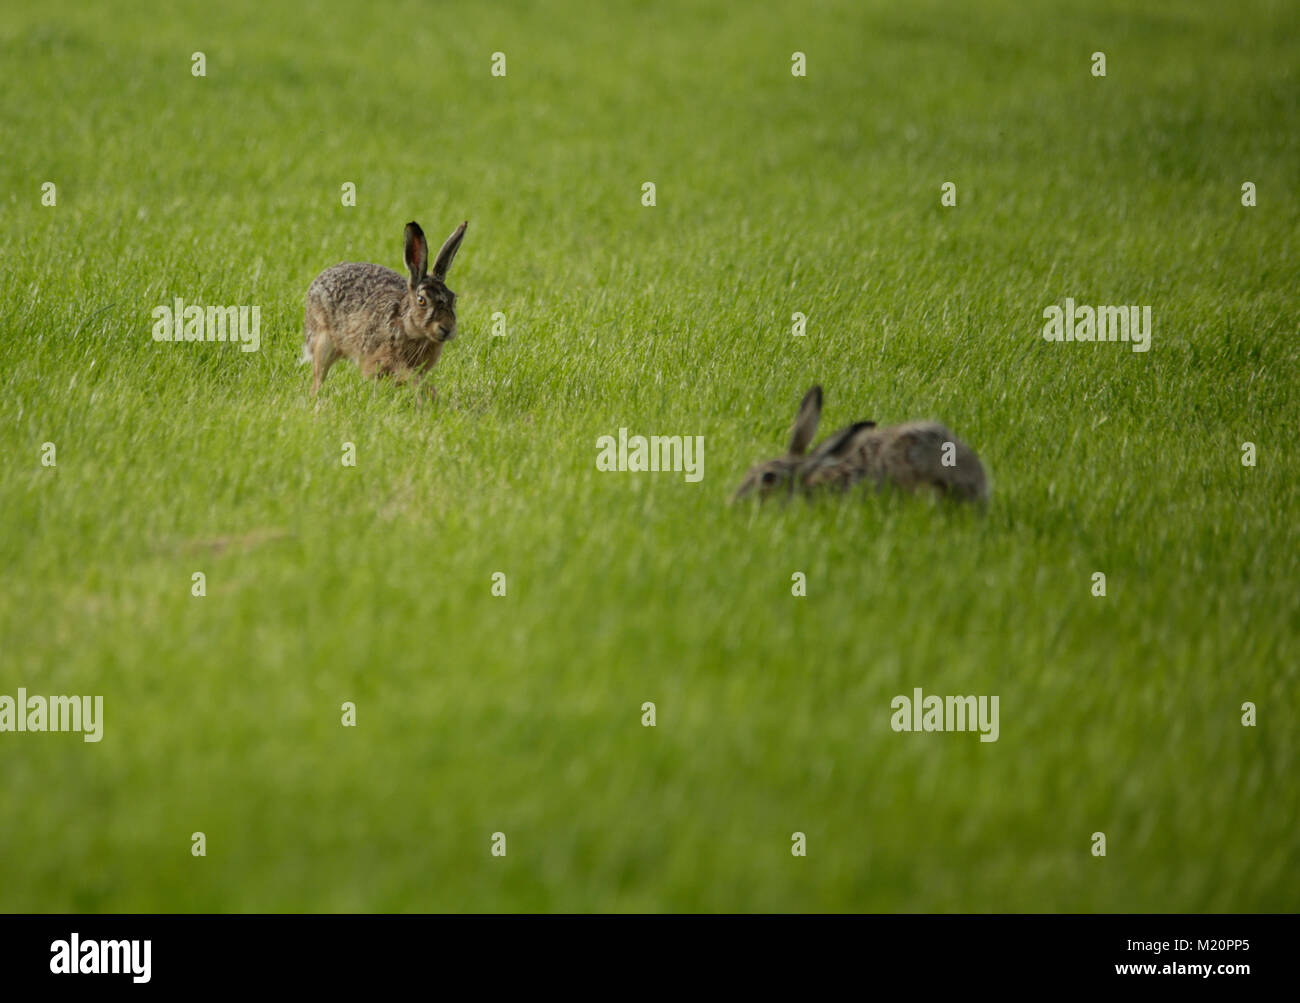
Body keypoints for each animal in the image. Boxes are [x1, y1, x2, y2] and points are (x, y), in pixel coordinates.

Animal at [303, 219, 467, 398]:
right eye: (421, 301)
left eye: (454, 299)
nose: (447, 328)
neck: (409, 328)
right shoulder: (382, 360)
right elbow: (407, 374)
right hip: (323, 342)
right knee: (319, 375)